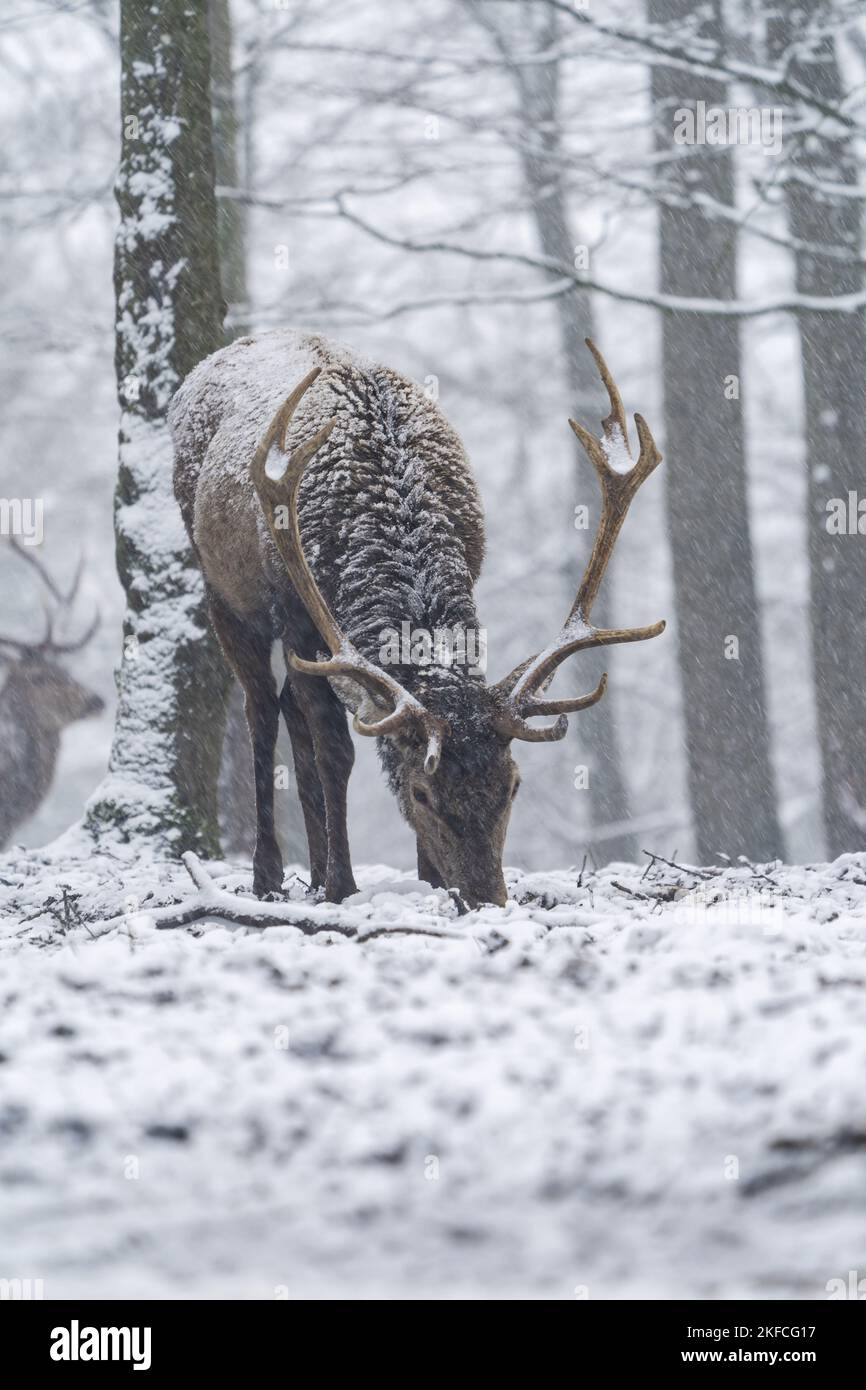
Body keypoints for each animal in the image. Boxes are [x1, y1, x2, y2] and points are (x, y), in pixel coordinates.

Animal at [170, 329, 664, 907]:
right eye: (421, 792)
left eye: (512, 785)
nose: (485, 897)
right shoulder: (296, 615)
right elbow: (336, 750)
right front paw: (341, 886)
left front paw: (425, 879)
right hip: (224, 591)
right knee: (262, 711)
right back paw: (269, 876)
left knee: (291, 709)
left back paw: (310, 870)